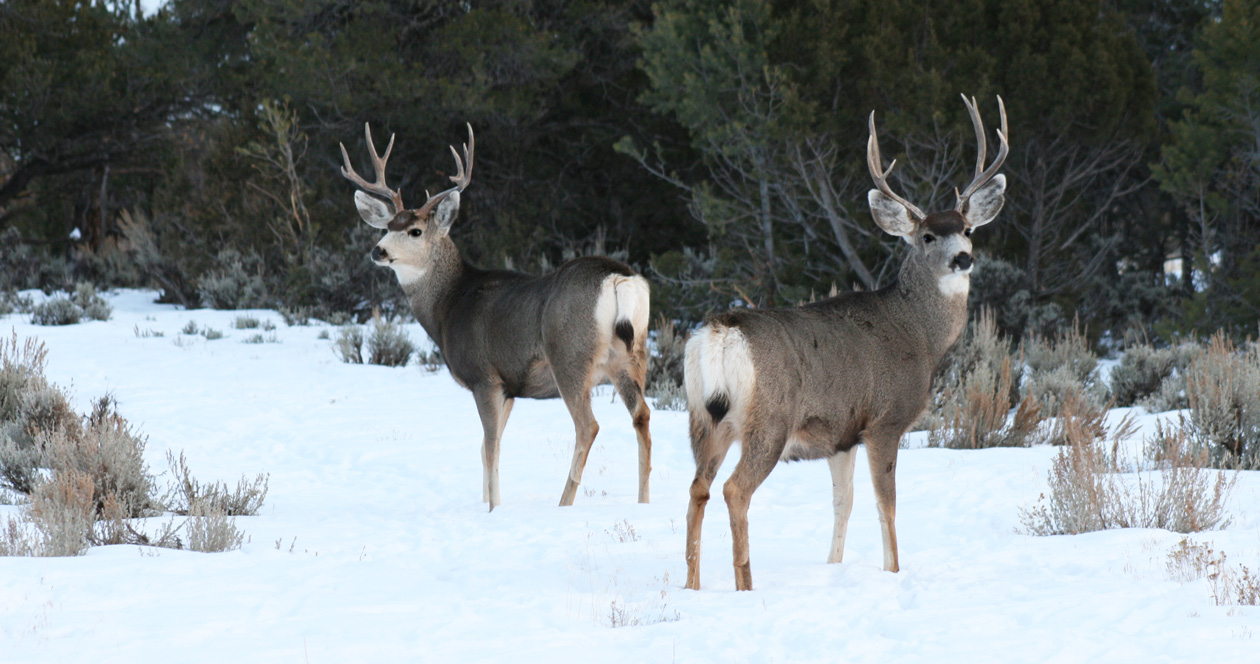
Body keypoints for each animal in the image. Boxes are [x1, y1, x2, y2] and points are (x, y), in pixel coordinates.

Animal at [339, 123, 653, 511]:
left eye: (415, 231)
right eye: (386, 227)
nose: (378, 250)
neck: (449, 305)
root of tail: (619, 278)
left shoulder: (484, 377)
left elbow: (489, 448)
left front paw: (493, 508)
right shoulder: (509, 389)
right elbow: (489, 448)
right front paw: (488, 502)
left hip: (570, 355)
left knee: (588, 426)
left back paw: (564, 503)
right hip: (631, 356)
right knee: (642, 416)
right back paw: (644, 502)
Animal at [683, 95, 1009, 591]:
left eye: (968, 229)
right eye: (928, 235)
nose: (962, 258)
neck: (919, 334)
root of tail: (722, 332)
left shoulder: (841, 434)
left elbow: (844, 501)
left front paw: (833, 567)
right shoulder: (884, 421)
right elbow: (885, 503)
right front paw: (893, 570)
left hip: (703, 418)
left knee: (697, 487)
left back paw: (692, 585)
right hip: (769, 420)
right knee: (734, 489)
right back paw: (745, 585)